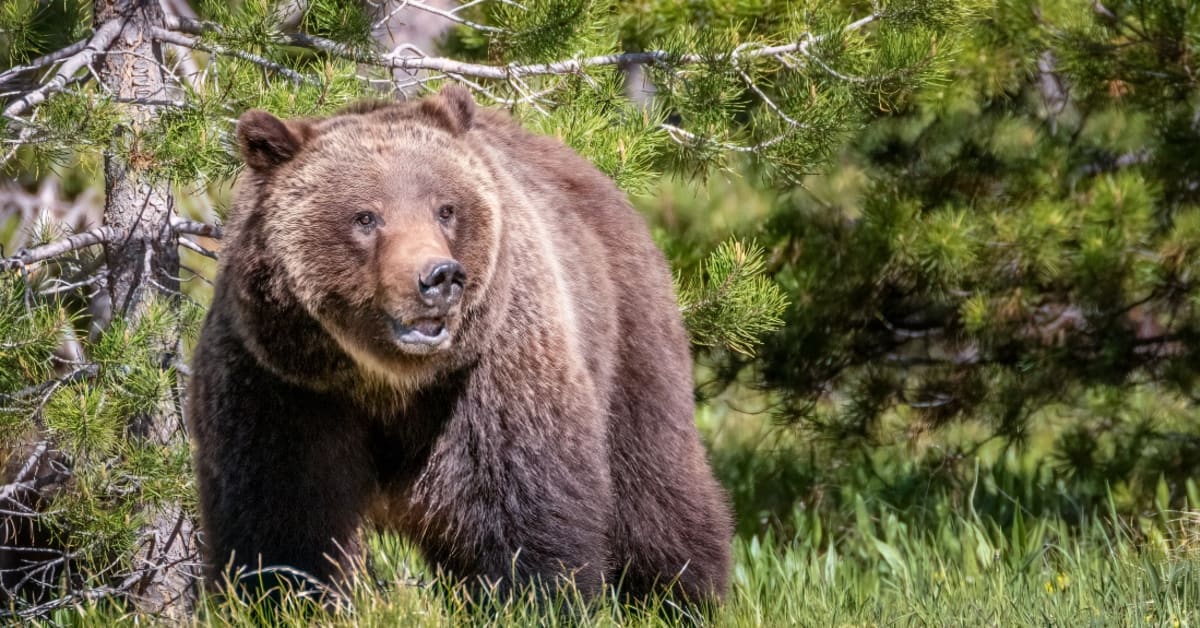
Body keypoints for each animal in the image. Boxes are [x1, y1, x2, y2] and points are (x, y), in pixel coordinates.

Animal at [185, 85, 732, 606]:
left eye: (445, 209)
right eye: (366, 217)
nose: (439, 277)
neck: (384, 381)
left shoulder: (493, 372)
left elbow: (524, 509)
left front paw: (533, 599)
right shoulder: (281, 381)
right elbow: (281, 521)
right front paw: (282, 596)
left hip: (627, 333)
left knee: (653, 489)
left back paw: (680, 596)